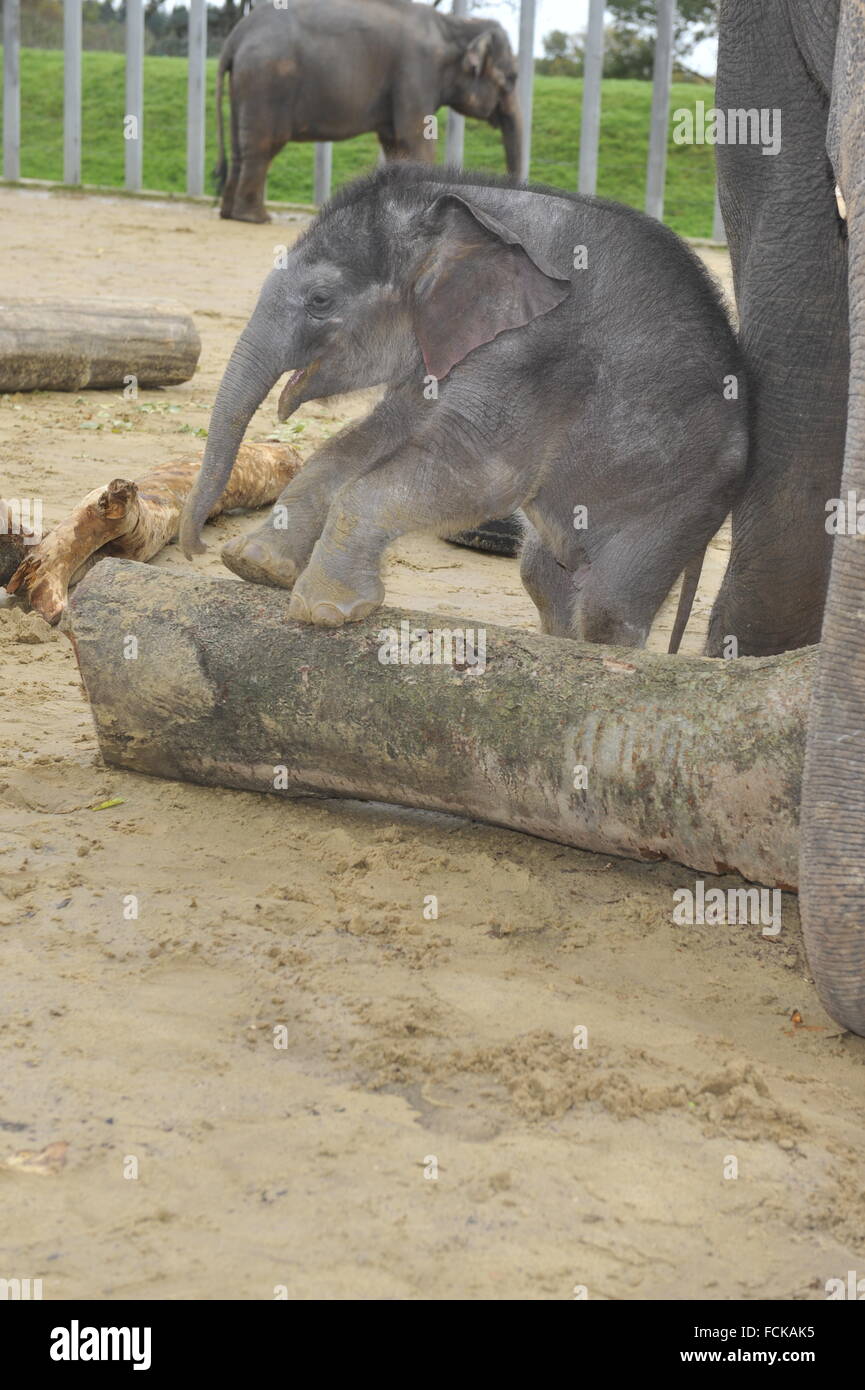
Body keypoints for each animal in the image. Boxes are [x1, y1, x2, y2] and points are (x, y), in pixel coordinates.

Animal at [179, 163, 747, 654]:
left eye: (321, 300)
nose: (197, 550)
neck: (466, 206)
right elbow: (377, 434)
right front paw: (255, 566)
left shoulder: (538, 350)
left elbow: (487, 475)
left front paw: (323, 610)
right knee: (540, 574)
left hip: (683, 500)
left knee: (610, 603)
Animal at [214, 0, 523, 224]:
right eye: (511, 79)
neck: (455, 25)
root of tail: (235, 37)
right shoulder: (416, 73)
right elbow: (415, 138)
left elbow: (395, 143)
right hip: (267, 82)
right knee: (263, 145)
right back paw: (256, 218)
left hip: (245, 85)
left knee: (240, 147)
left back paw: (230, 213)